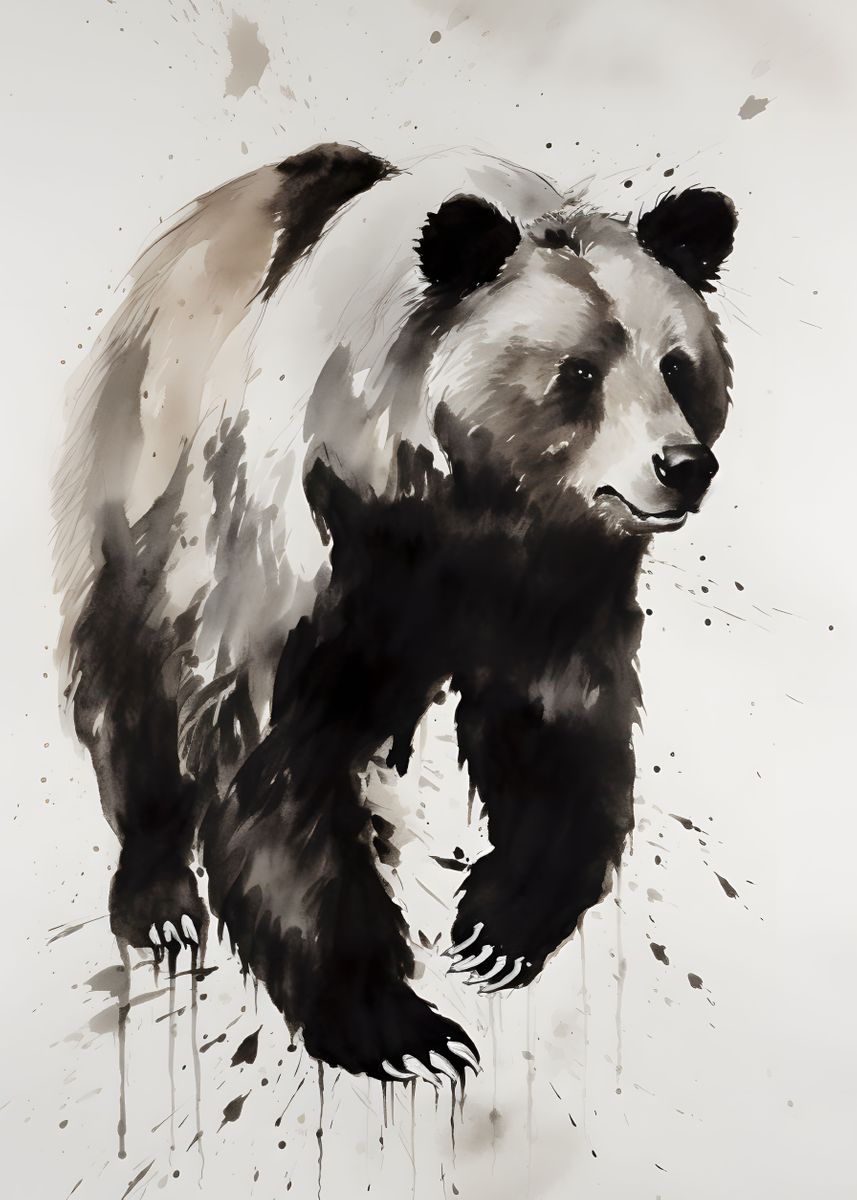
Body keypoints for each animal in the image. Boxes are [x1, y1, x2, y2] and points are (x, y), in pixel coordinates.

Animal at [53, 142, 736, 1085]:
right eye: (579, 373)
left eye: (676, 364)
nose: (681, 467)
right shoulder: (306, 548)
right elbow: (273, 759)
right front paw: (400, 1025)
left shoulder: (551, 575)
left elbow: (558, 723)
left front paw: (494, 931)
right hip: (148, 465)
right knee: (128, 671)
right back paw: (160, 899)